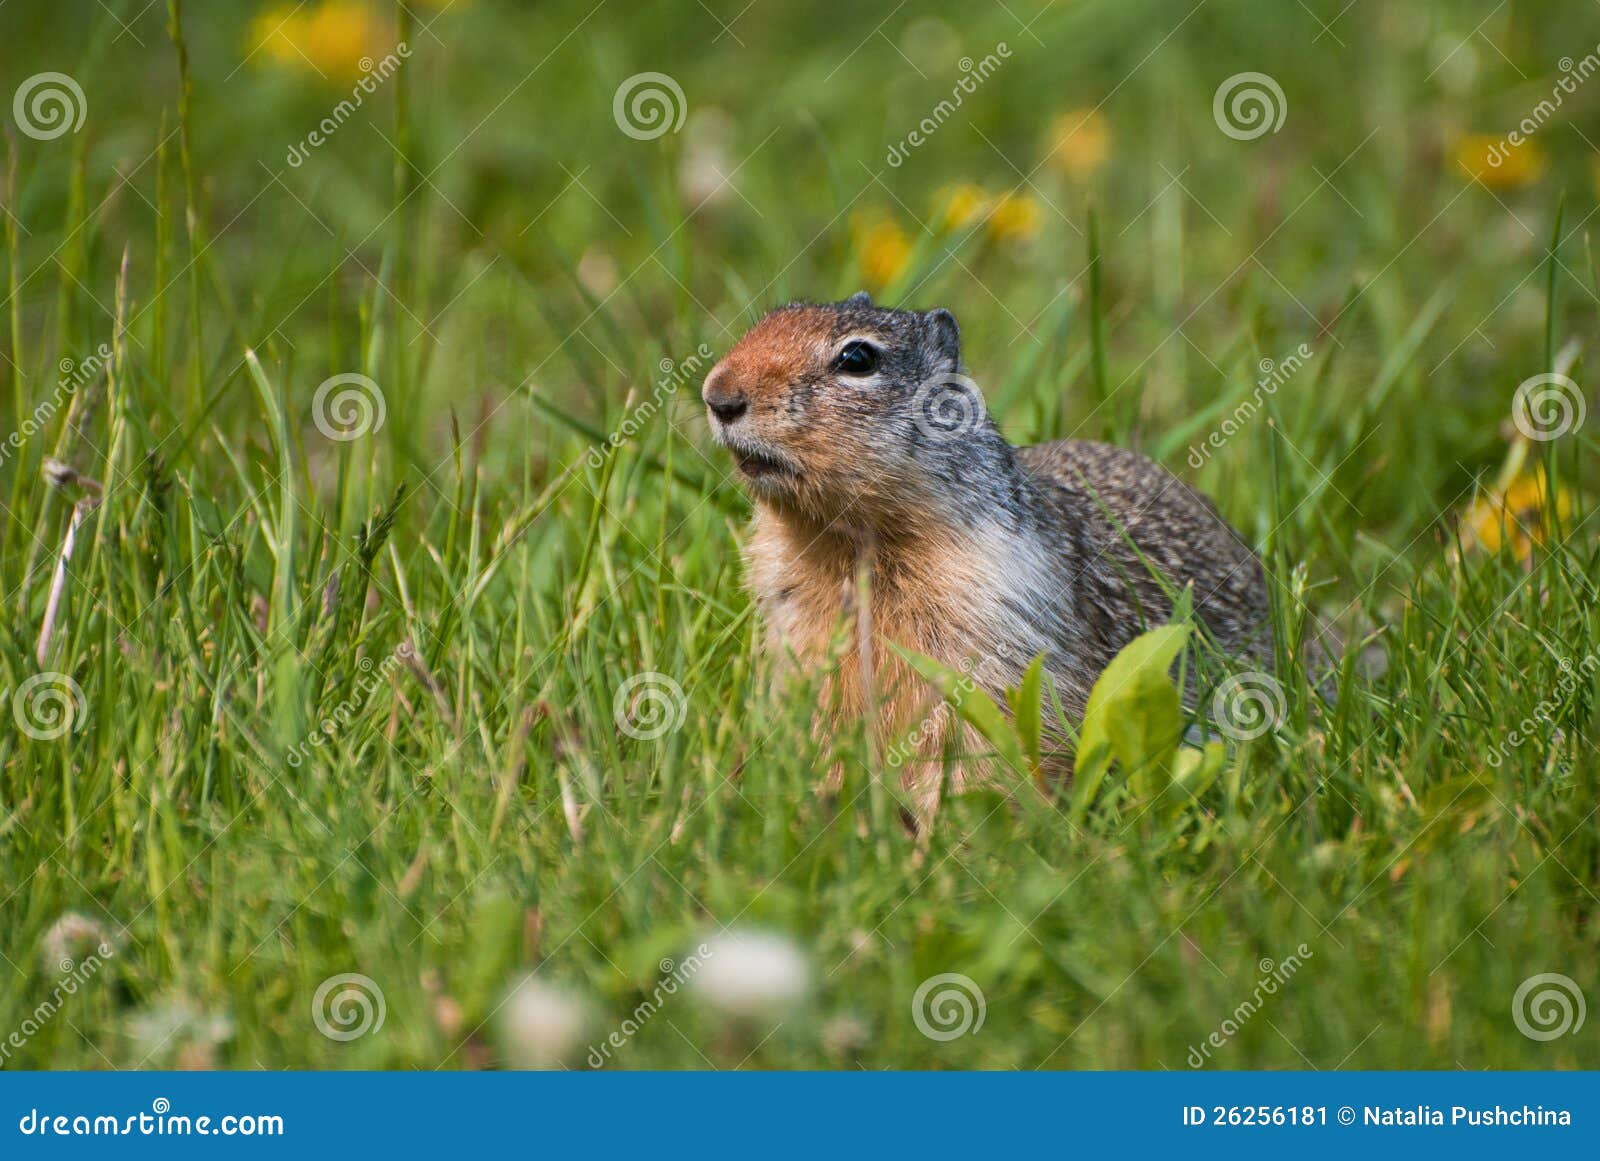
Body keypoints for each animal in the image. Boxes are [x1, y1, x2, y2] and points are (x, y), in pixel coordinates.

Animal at [701, 293, 1271, 815]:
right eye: (771, 317)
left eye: (857, 358)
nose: (717, 395)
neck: (849, 547)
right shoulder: (795, 635)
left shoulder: (993, 633)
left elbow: (980, 750)